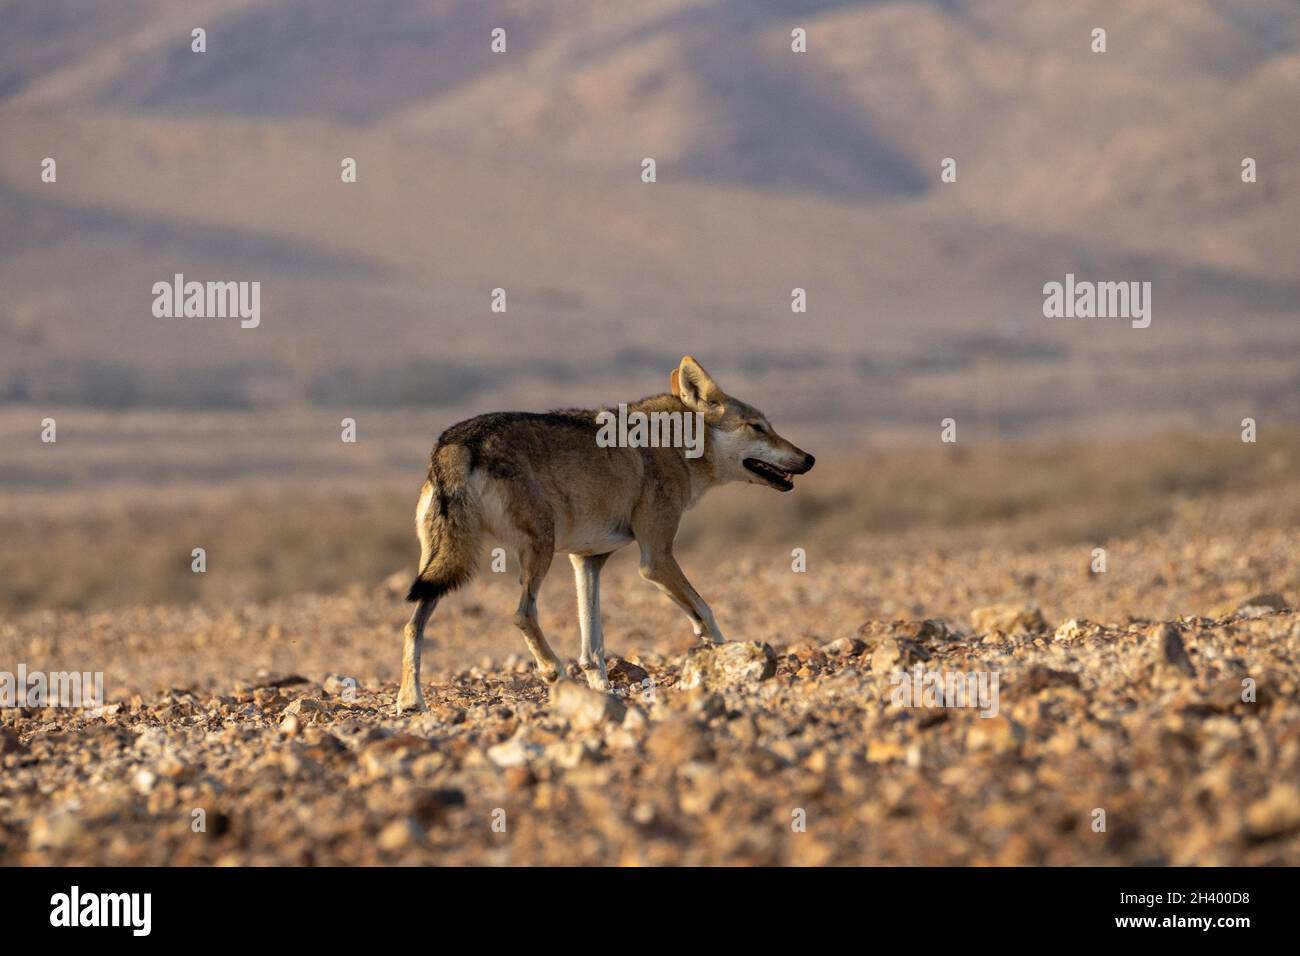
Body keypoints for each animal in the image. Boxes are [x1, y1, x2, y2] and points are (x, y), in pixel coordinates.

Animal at [397, 355, 815, 712]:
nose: (809, 458)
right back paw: (553, 672)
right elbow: (708, 612)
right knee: (521, 614)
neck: (674, 445)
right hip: (537, 548)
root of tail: (455, 441)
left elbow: (593, 646)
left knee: (412, 626)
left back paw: (411, 700)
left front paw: (603, 691)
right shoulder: (655, 559)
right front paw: (728, 659)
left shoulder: (588, 560)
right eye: (758, 427)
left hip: (440, 568)